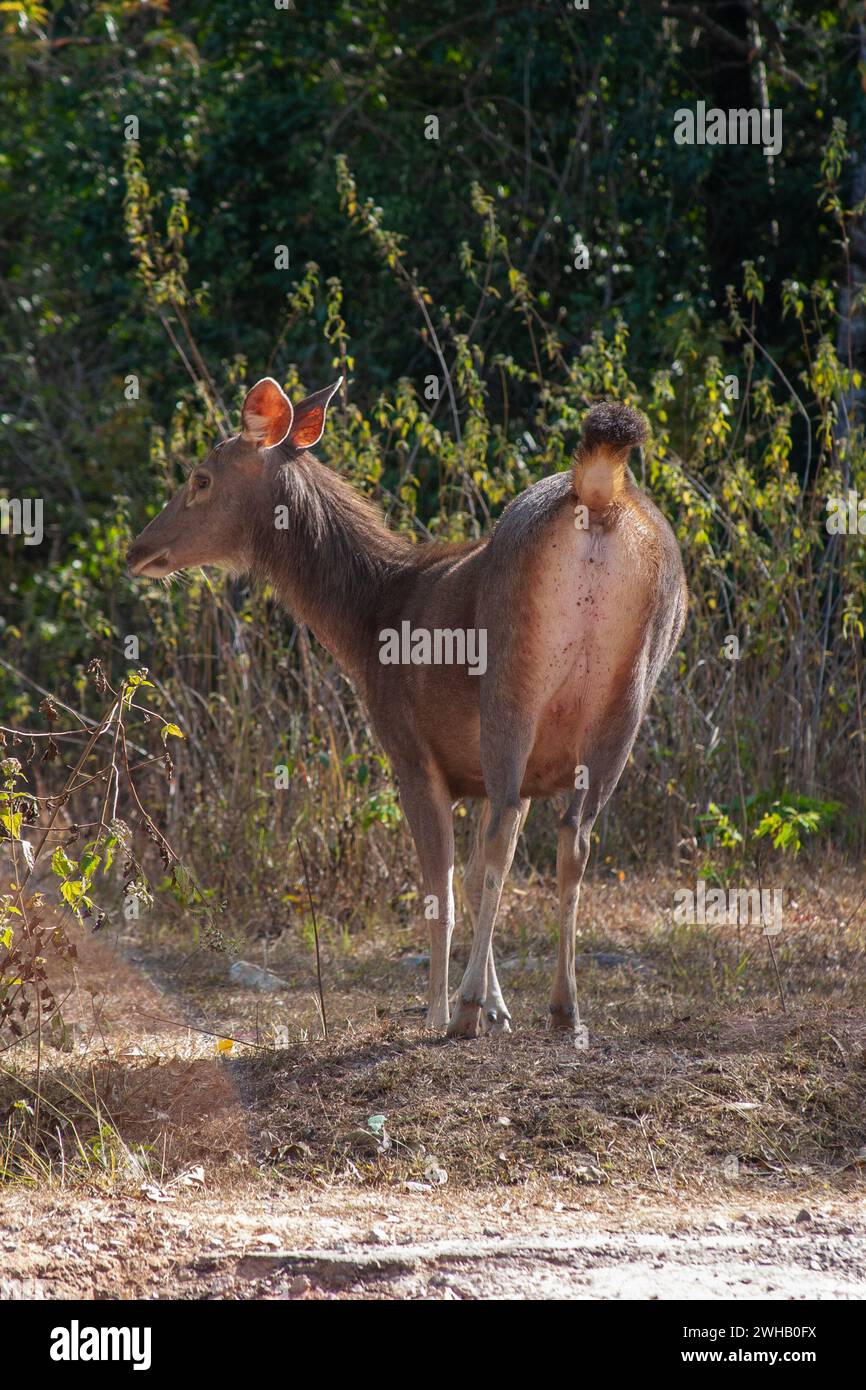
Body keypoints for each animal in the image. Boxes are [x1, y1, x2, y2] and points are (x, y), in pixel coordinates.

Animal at [128, 376, 687, 1040]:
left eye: (201, 478)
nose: (138, 547)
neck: (370, 618)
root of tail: (599, 492)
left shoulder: (412, 753)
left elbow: (441, 890)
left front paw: (448, 1009)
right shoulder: (514, 775)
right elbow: (472, 884)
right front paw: (502, 1009)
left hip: (511, 684)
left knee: (498, 845)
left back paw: (464, 1012)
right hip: (629, 694)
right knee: (573, 840)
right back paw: (564, 1010)